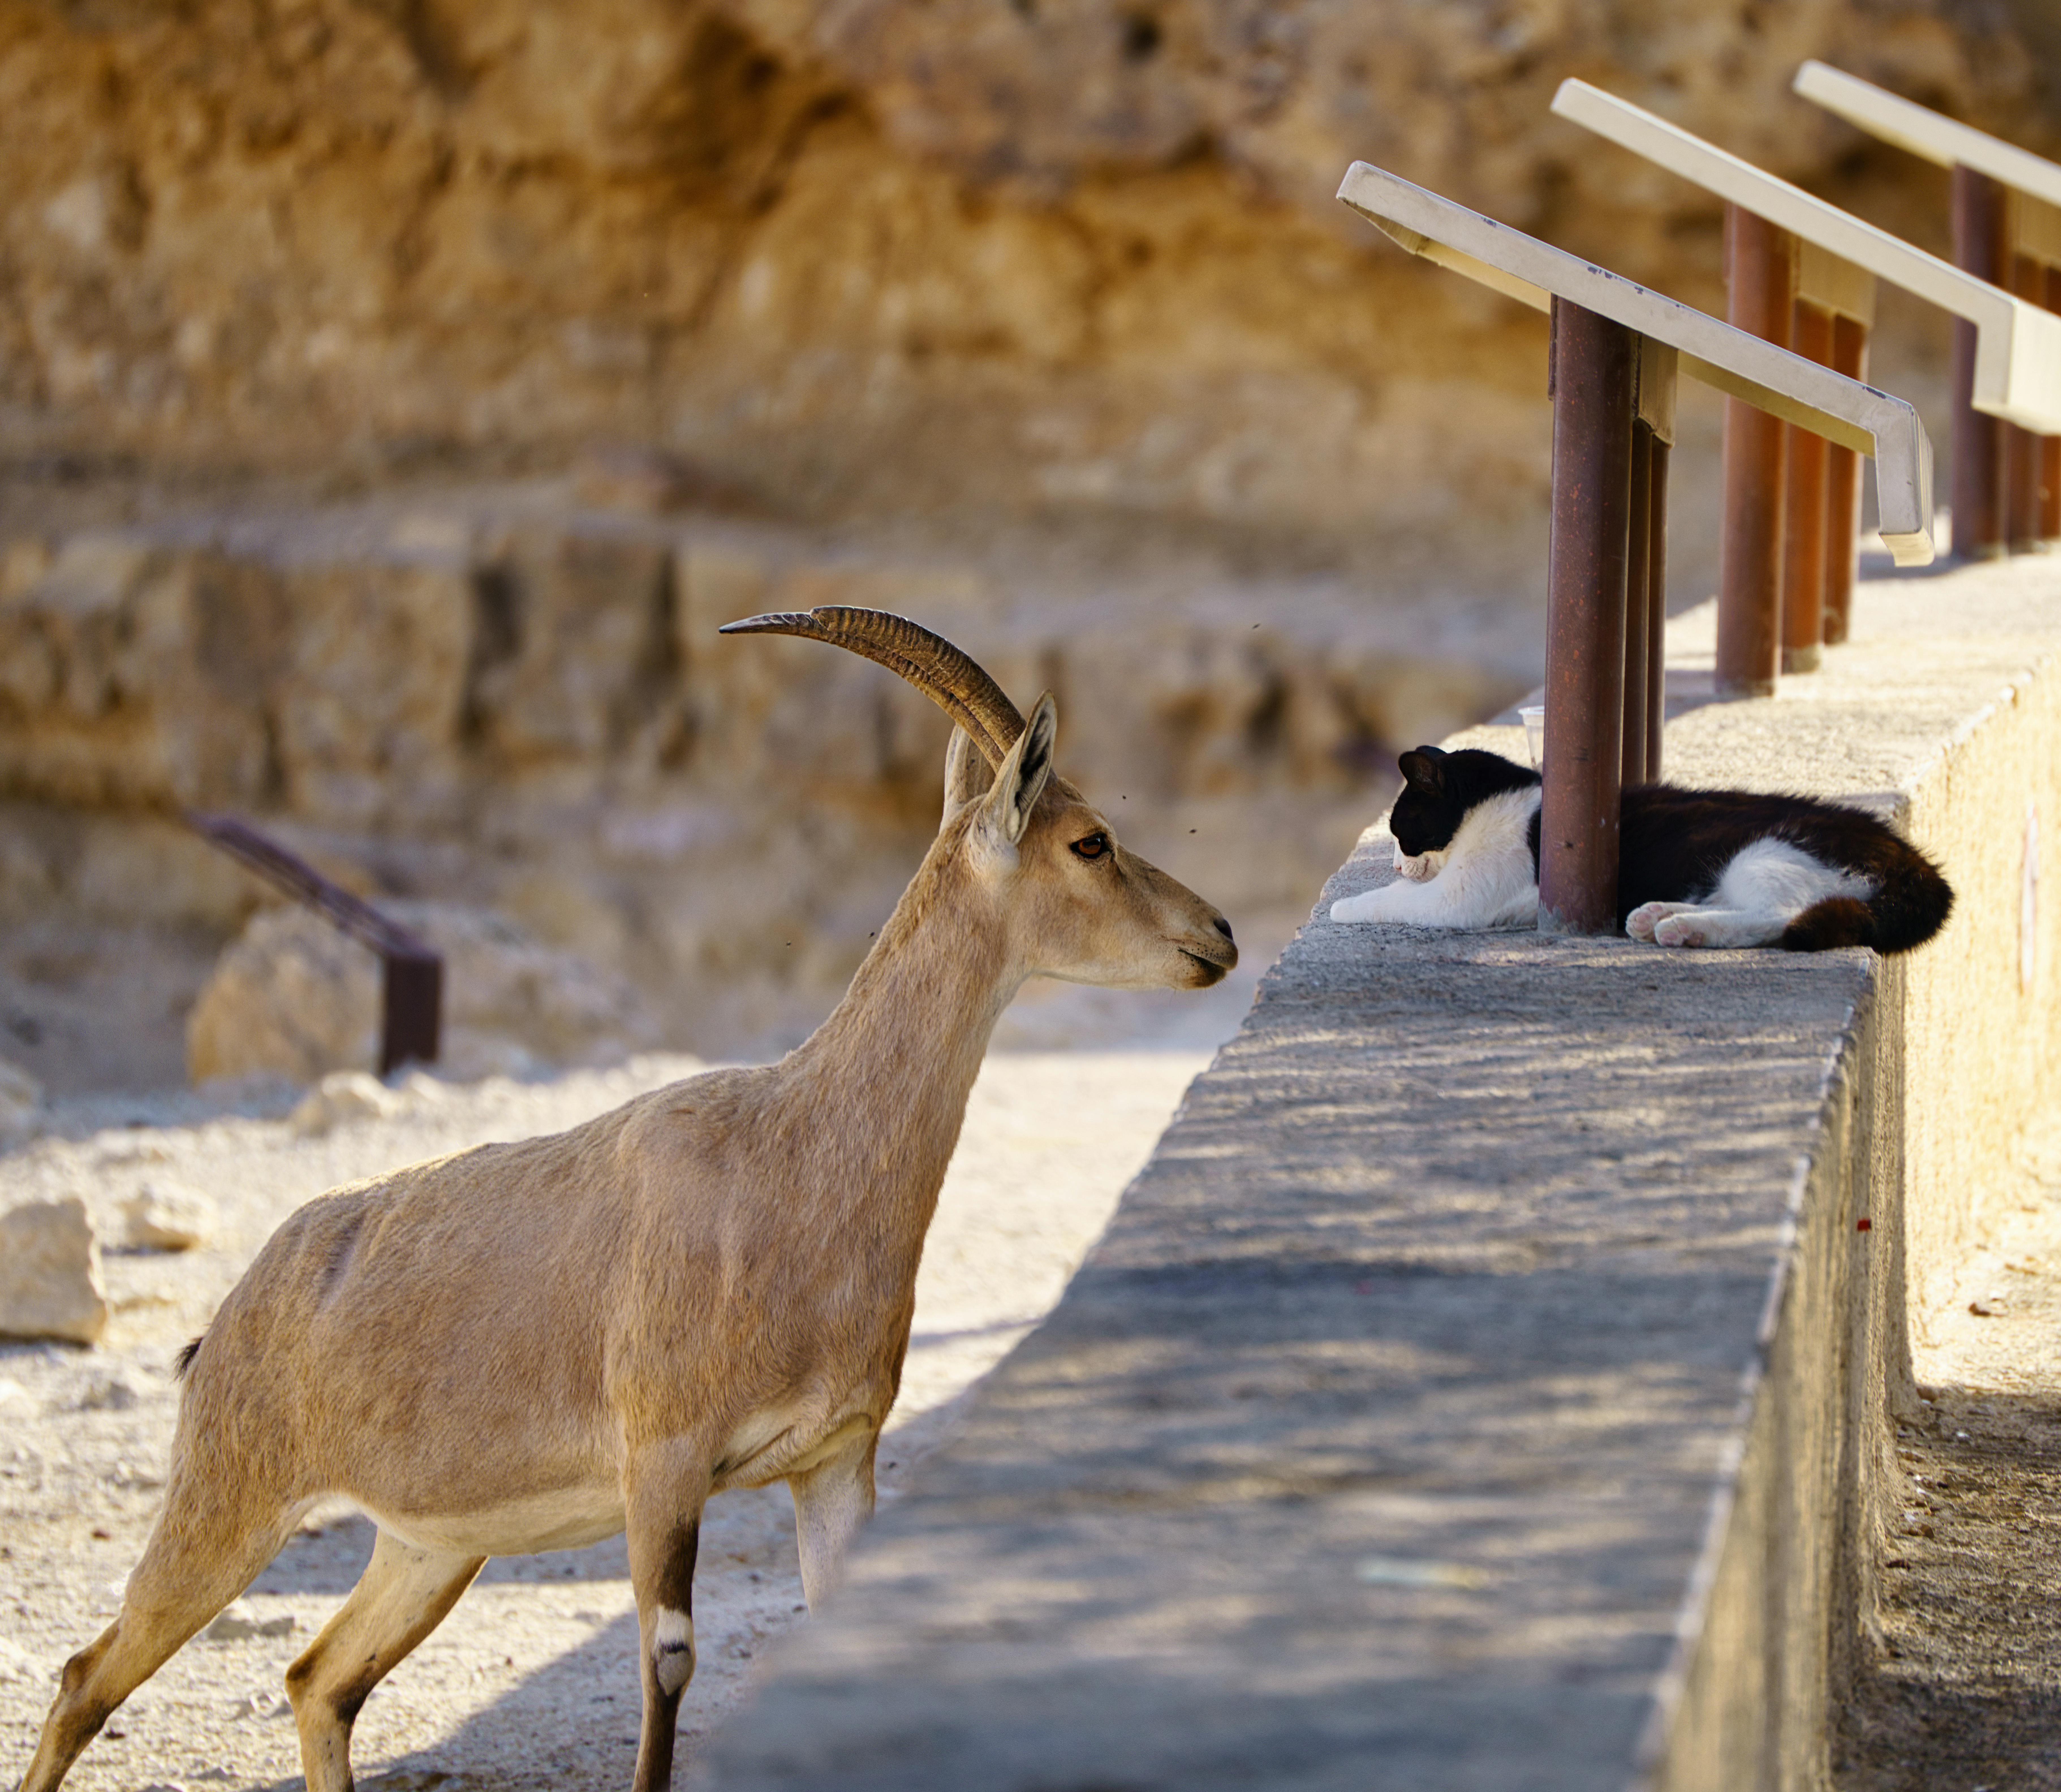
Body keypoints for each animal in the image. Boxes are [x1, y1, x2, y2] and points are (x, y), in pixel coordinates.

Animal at [16, 607, 1237, 1792]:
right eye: (1089, 840)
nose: (1217, 936)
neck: (794, 1154)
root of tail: (240, 1308)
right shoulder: (664, 1464)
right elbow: (667, 1666)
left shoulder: (835, 1461)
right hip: (228, 1506)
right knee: (88, 1677)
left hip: (429, 1548)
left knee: (319, 1680)